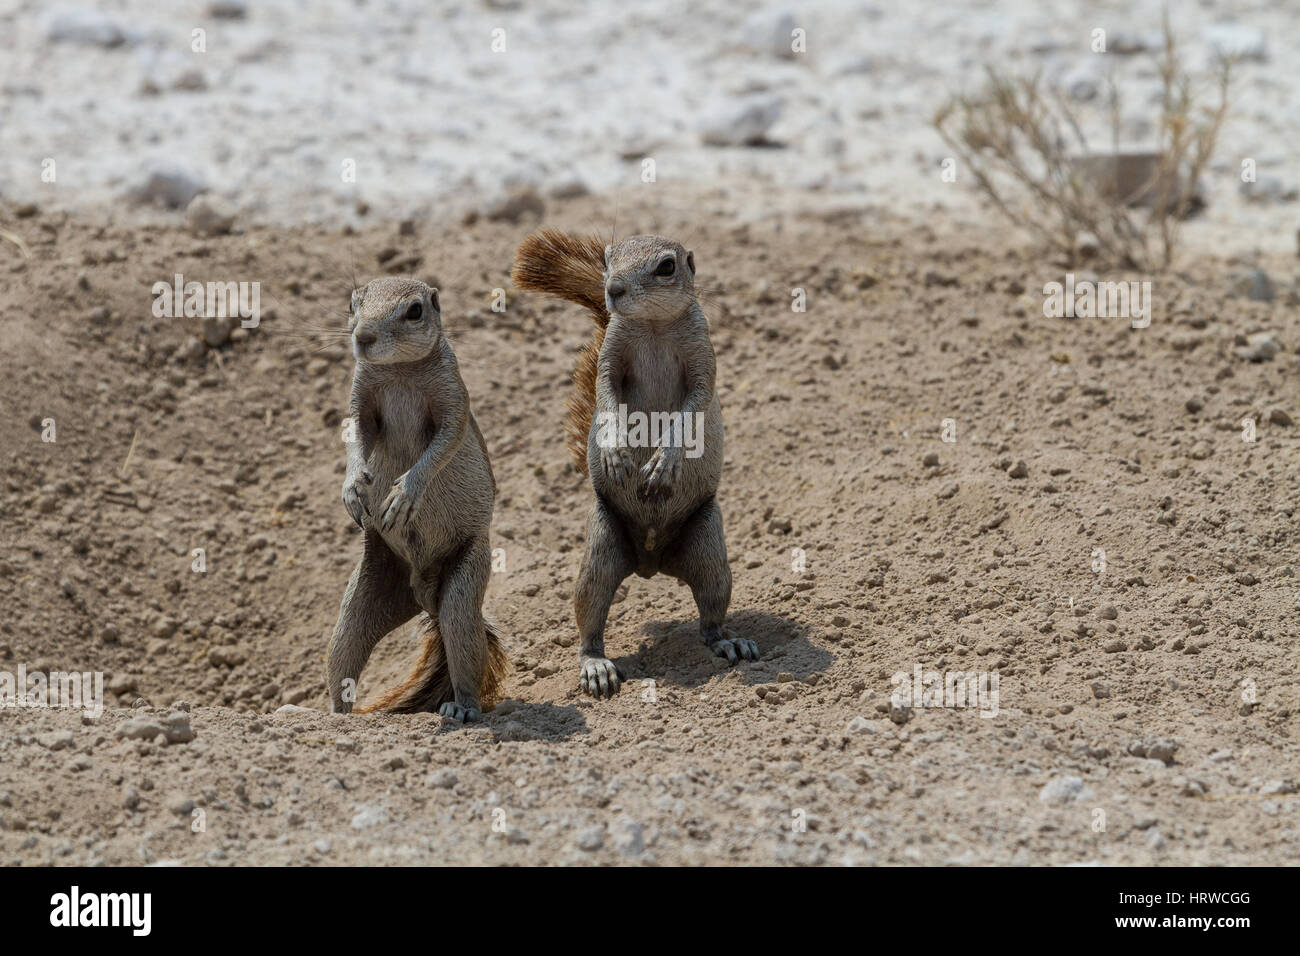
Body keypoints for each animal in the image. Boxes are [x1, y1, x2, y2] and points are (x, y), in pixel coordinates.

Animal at [326, 277, 505, 722]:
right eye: (352, 303)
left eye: (414, 311)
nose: (362, 336)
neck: (399, 372)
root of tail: (425, 598)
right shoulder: (360, 399)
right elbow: (354, 433)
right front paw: (353, 487)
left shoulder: (453, 399)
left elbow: (443, 445)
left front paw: (403, 496)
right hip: (365, 597)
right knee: (343, 658)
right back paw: (332, 714)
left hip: (463, 588)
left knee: (465, 645)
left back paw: (462, 708)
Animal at [511, 230, 758, 699]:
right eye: (609, 258)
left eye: (666, 267)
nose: (613, 289)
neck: (653, 326)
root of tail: (651, 562)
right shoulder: (611, 357)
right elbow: (605, 395)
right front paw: (614, 449)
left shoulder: (704, 358)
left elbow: (692, 409)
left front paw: (664, 462)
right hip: (601, 551)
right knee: (590, 618)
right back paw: (596, 667)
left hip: (710, 554)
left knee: (710, 617)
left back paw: (729, 642)